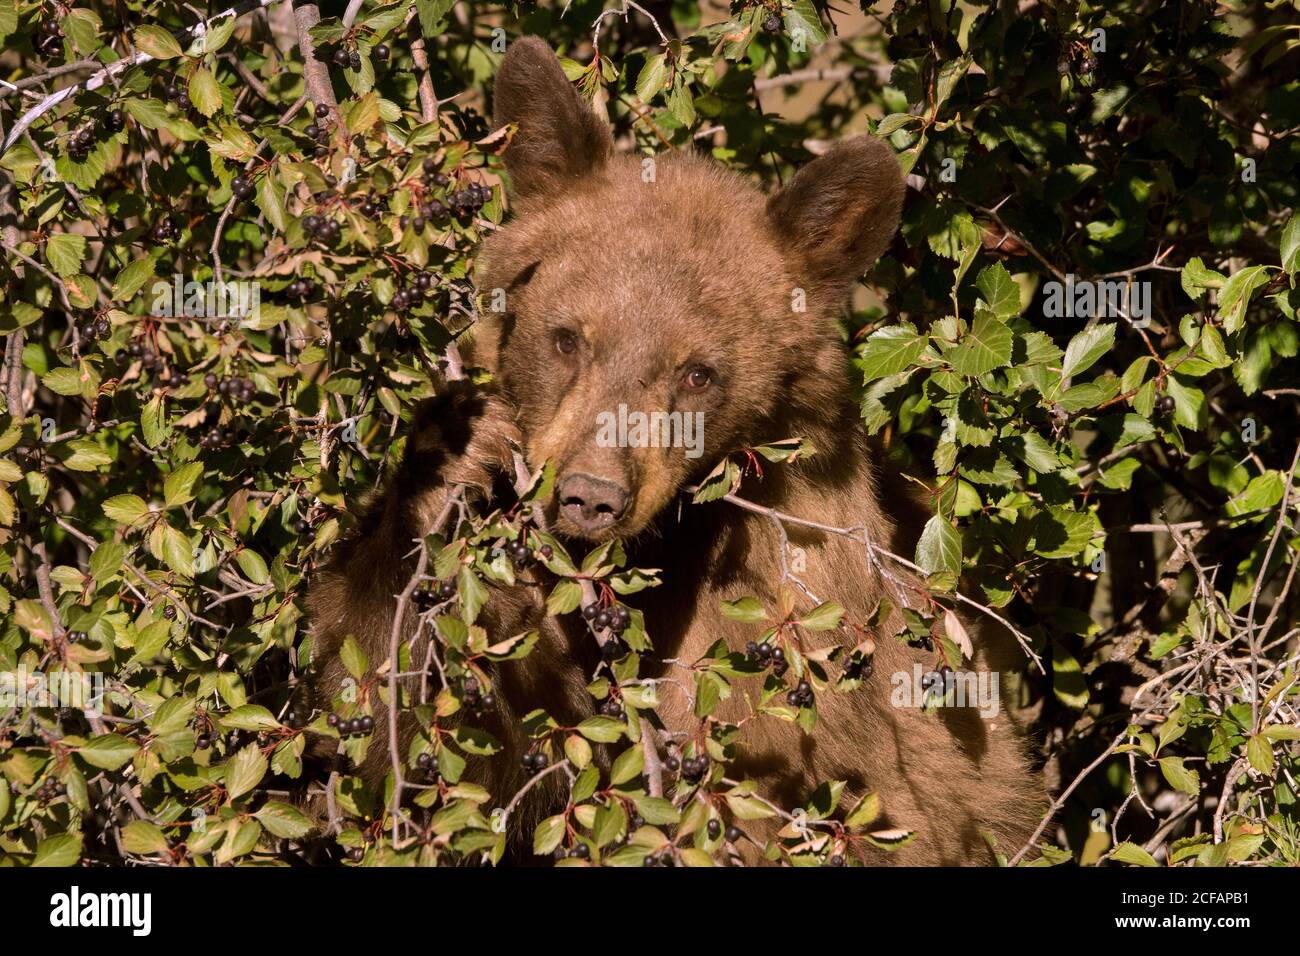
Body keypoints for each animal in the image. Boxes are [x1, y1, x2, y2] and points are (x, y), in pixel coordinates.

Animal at [305, 36, 1045, 865]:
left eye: (697, 372)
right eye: (567, 338)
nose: (590, 496)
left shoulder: (787, 616)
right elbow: (425, 734)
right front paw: (444, 471)